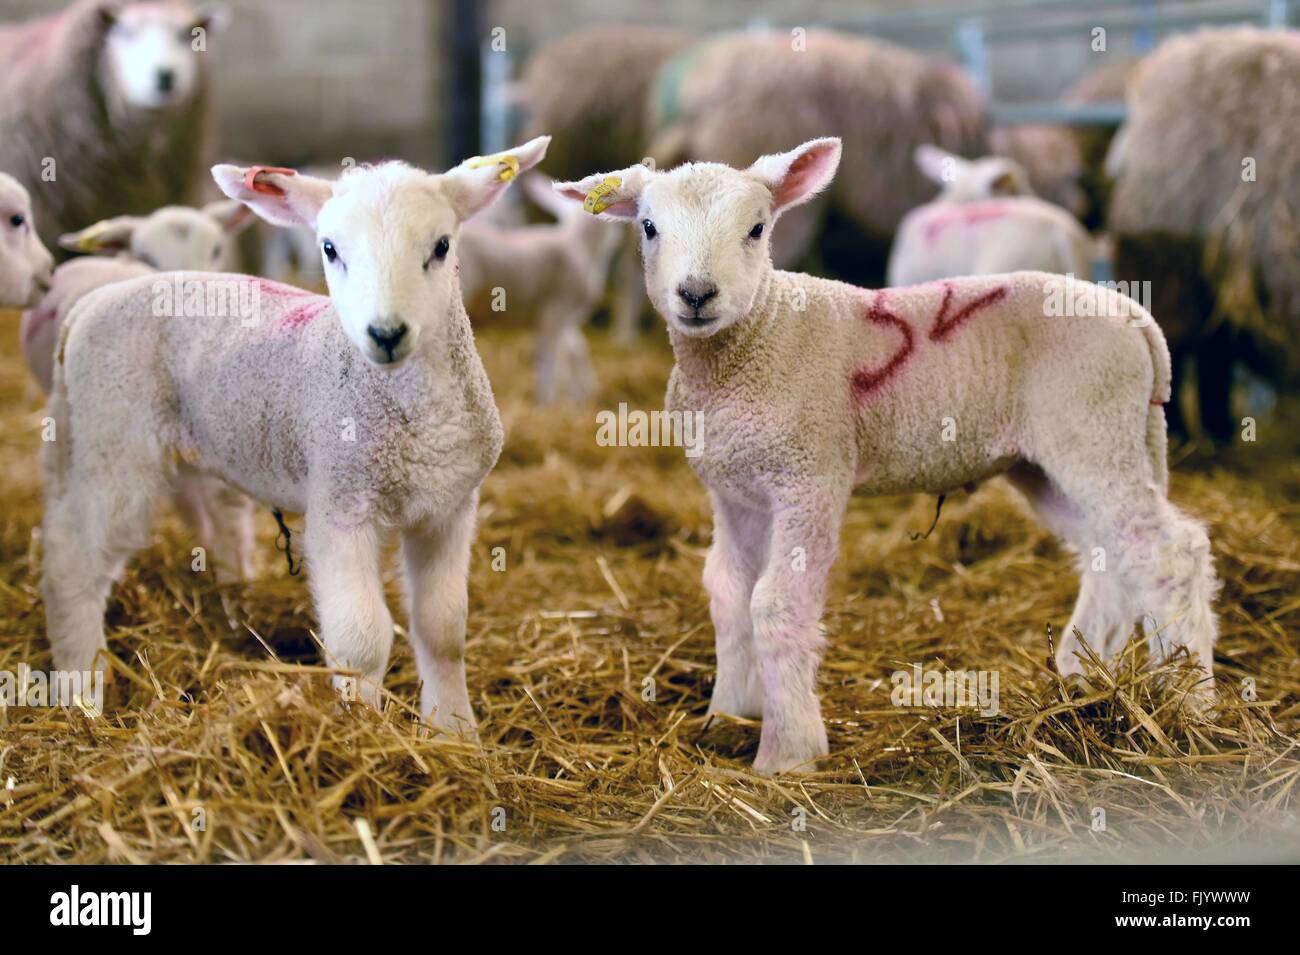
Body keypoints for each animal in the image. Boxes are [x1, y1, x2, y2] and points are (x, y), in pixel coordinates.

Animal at [40, 137, 551, 731]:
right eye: (329, 249)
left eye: (441, 246)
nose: (386, 333)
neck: (418, 418)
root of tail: (89, 306)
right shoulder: (339, 503)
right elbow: (361, 641)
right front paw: (364, 732)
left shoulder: (450, 507)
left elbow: (443, 630)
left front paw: (454, 733)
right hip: (113, 442)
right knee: (72, 561)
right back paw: (81, 693)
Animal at [457, 172, 621, 403]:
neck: (580, 245)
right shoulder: (555, 310)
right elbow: (548, 356)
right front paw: (547, 400)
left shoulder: (566, 320)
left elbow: (574, 348)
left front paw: (578, 394)